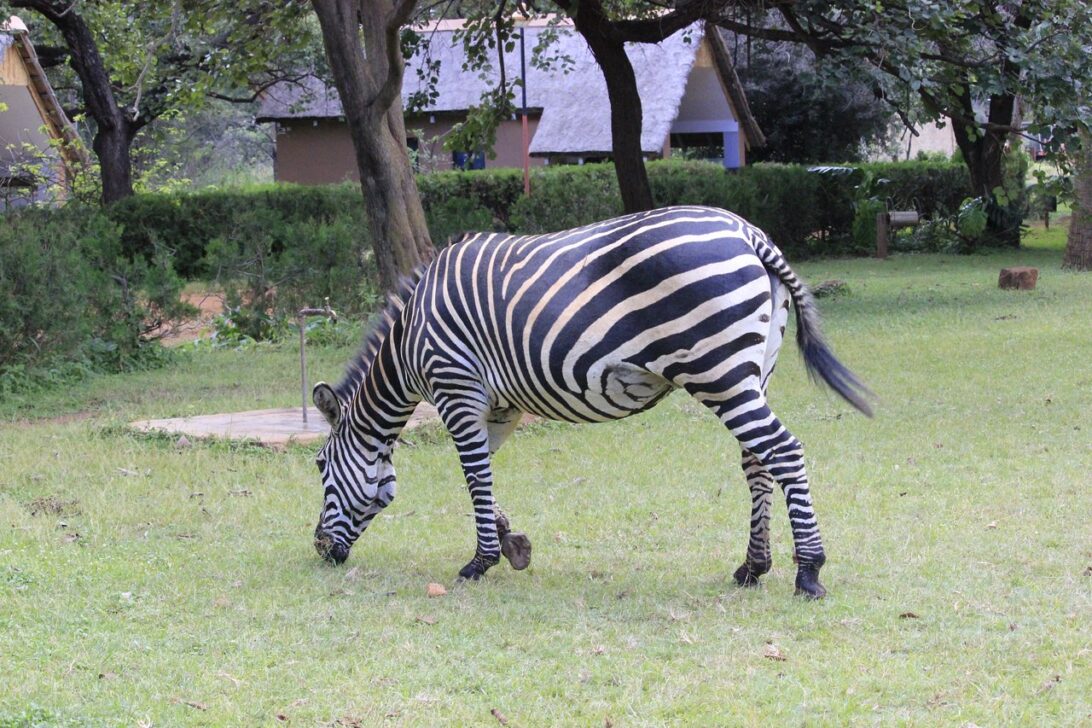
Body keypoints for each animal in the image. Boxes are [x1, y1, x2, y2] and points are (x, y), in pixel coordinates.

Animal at [312, 204, 873, 598]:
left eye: (319, 465)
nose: (318, 550)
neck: (409, 342)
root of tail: (750, 234)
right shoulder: (498, 406)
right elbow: (481, 476)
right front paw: (512, 544)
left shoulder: (456, 388)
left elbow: (472, 476)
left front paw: (480, 561)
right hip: (753, 371)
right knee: (758, 462)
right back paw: (753, 567)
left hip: (719, 371)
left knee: (783, 451)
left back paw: (809, 572)